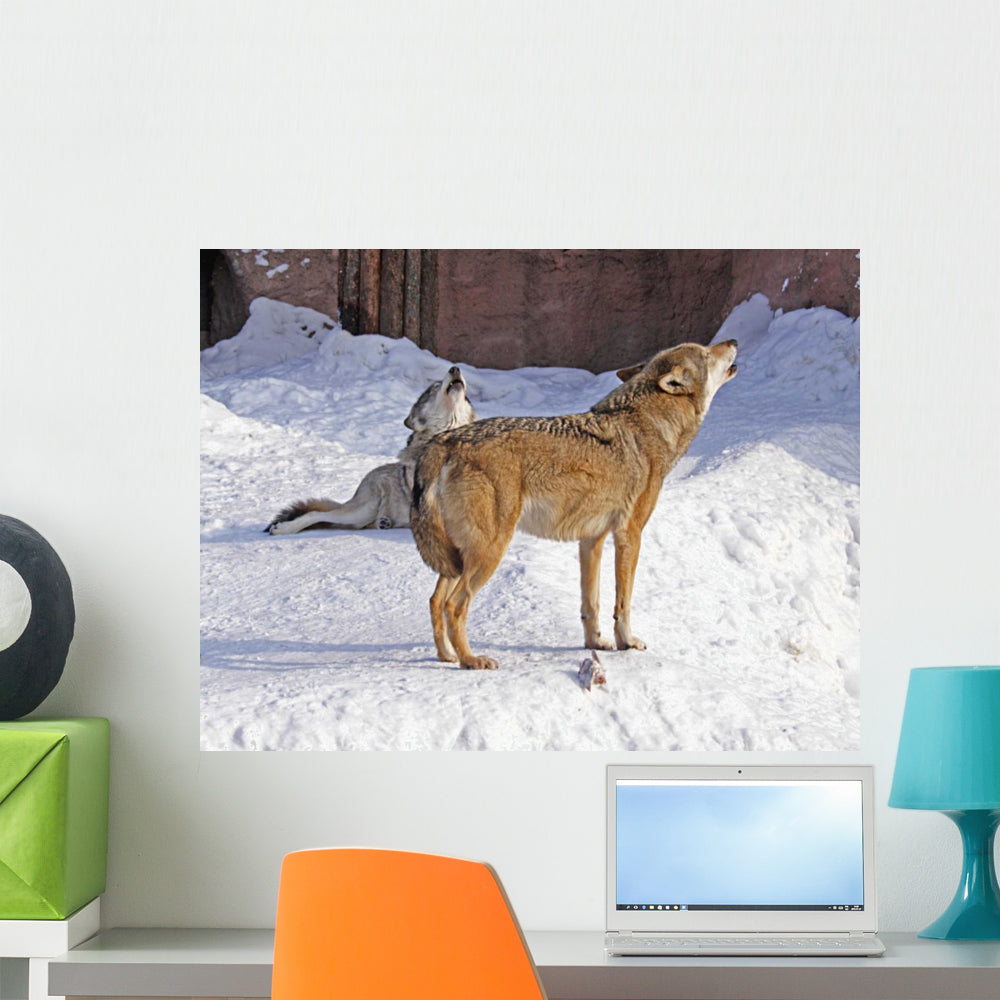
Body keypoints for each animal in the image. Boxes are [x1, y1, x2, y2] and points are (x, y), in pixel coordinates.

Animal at [267, 366, 476, 534]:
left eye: (467, 398)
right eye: (435, 387)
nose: (455, 368)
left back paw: (384, 522)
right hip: (360, 512)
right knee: (317, 514)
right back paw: (283, 529)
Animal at [410, 340, 738, 669]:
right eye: (706, 352)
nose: (733, 342)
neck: (648, 425)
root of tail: (443, 442)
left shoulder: (592, 540)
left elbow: (590, 603)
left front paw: (596, 644)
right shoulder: (629, 535)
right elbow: (623, 602)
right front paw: (628, 643)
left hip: (458, 558)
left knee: (435, 600)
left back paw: (447, 655)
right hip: (488, 552)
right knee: (454, 604)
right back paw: (471, 660)